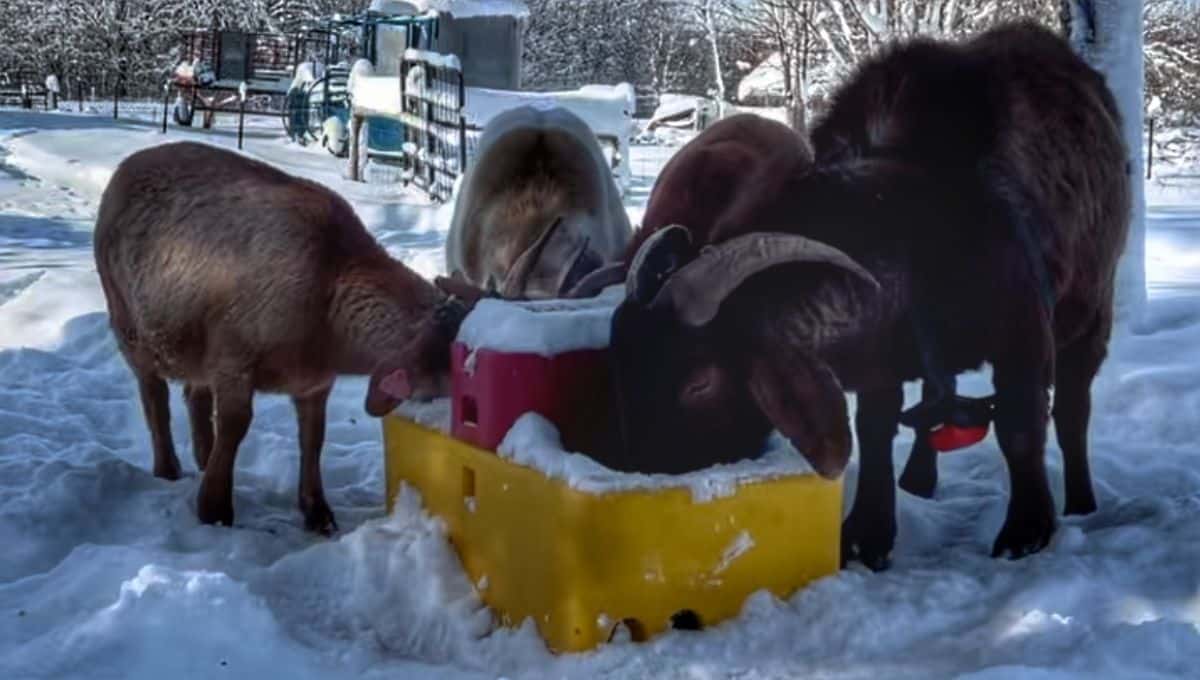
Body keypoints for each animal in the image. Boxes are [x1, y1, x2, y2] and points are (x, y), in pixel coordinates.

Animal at [94, 142, 464, 532]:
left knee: (195, 394)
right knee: (154, 399)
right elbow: (236, 423)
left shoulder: (315, 383)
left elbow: (314, 437)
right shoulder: (233, 356)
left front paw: (319, 516)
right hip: (128, 322)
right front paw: (215, 511)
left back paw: (203, 457)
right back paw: (168, 470)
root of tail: (129, 162)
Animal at [604, 22, 1129, 569]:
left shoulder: (1023, 331)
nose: (647, 472)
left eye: (699, 384)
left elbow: (1021, 425)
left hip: (1094, 309)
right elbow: (876, 430)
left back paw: (1082, 500)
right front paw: (867, 533)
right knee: (935, 404)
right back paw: (919, 478)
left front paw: (1026, 531)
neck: (912, 219)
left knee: (1073, 408)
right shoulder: (883, 355)